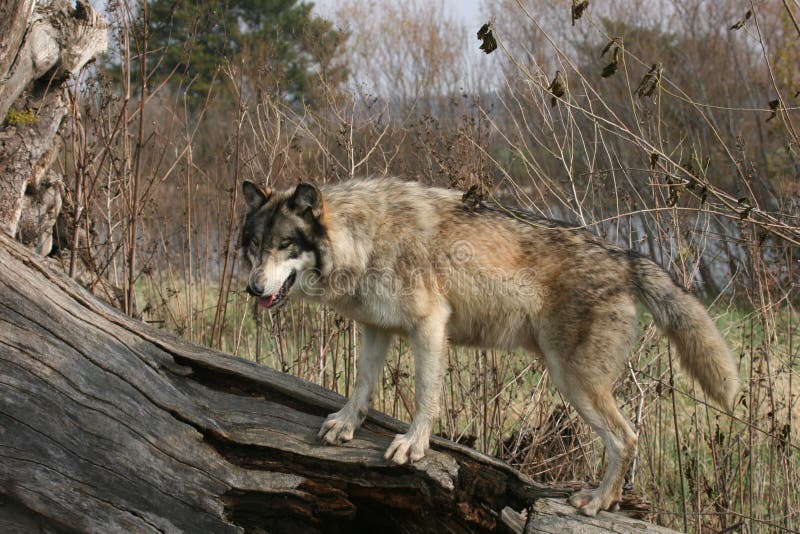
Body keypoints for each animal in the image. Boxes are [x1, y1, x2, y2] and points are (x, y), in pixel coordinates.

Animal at [240, 177, 738, 516]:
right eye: (254, 246)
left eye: (285, 245)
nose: (252, 288)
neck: (365, 238)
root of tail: (626, 257)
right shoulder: (376, 328)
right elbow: (362, 385)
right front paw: (346, 425)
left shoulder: (429, 327)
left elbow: (426, 396)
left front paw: (414, 446)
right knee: (627, 439)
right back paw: (607, 501)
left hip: (573, 382)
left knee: (626, 438)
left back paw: (597, 502)